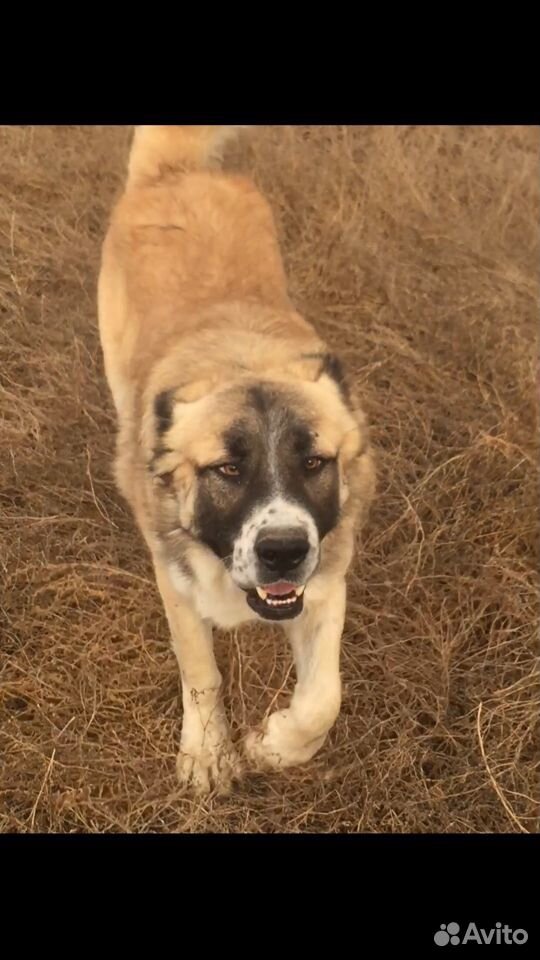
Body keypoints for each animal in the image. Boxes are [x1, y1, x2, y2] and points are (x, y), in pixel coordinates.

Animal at [98, 124, 376, 792]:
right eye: (227, 469)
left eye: (314, 463)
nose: (283, 551)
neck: (240, 363)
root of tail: (176, 173)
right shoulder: (176, 585)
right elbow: (202, 672)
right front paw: (208, 751)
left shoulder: (325, 584)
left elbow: (324, 698)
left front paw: (274, 747)